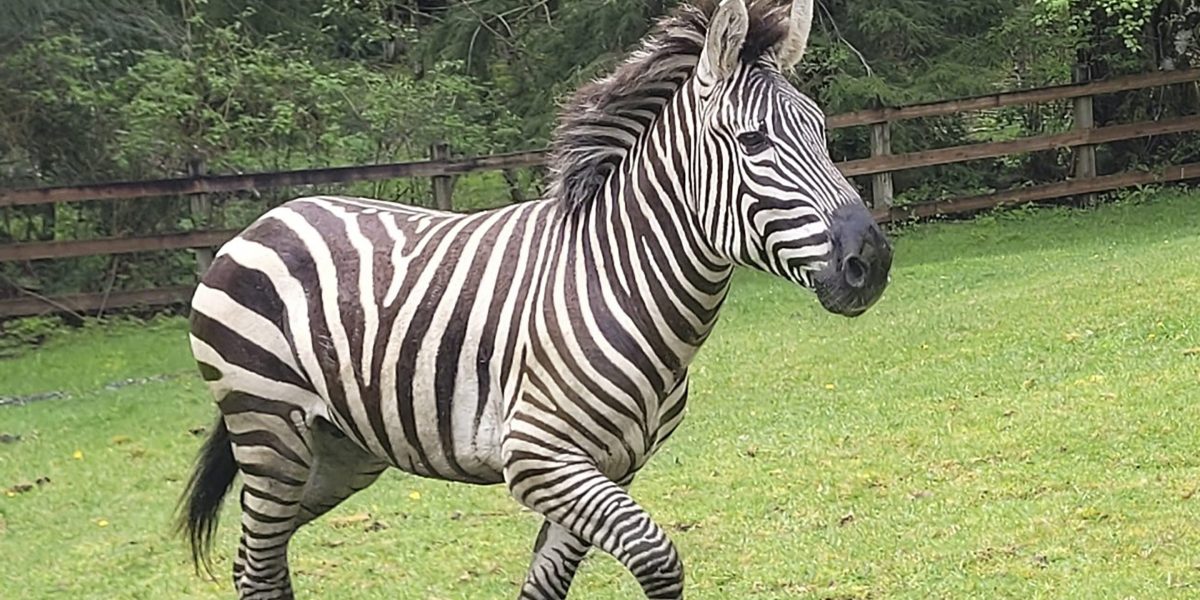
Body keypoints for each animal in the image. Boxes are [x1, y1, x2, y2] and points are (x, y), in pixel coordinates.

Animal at [177, 2, 892, 597]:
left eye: (822, 130)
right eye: (752, 143)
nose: (874, 261)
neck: (622, 285)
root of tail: (266, 218)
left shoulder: (611, 467)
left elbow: (547, 584)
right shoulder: (537, 456)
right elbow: (658, 558)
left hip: (337, 451)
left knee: (260, 560)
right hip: (269, 429)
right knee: (259, 565)